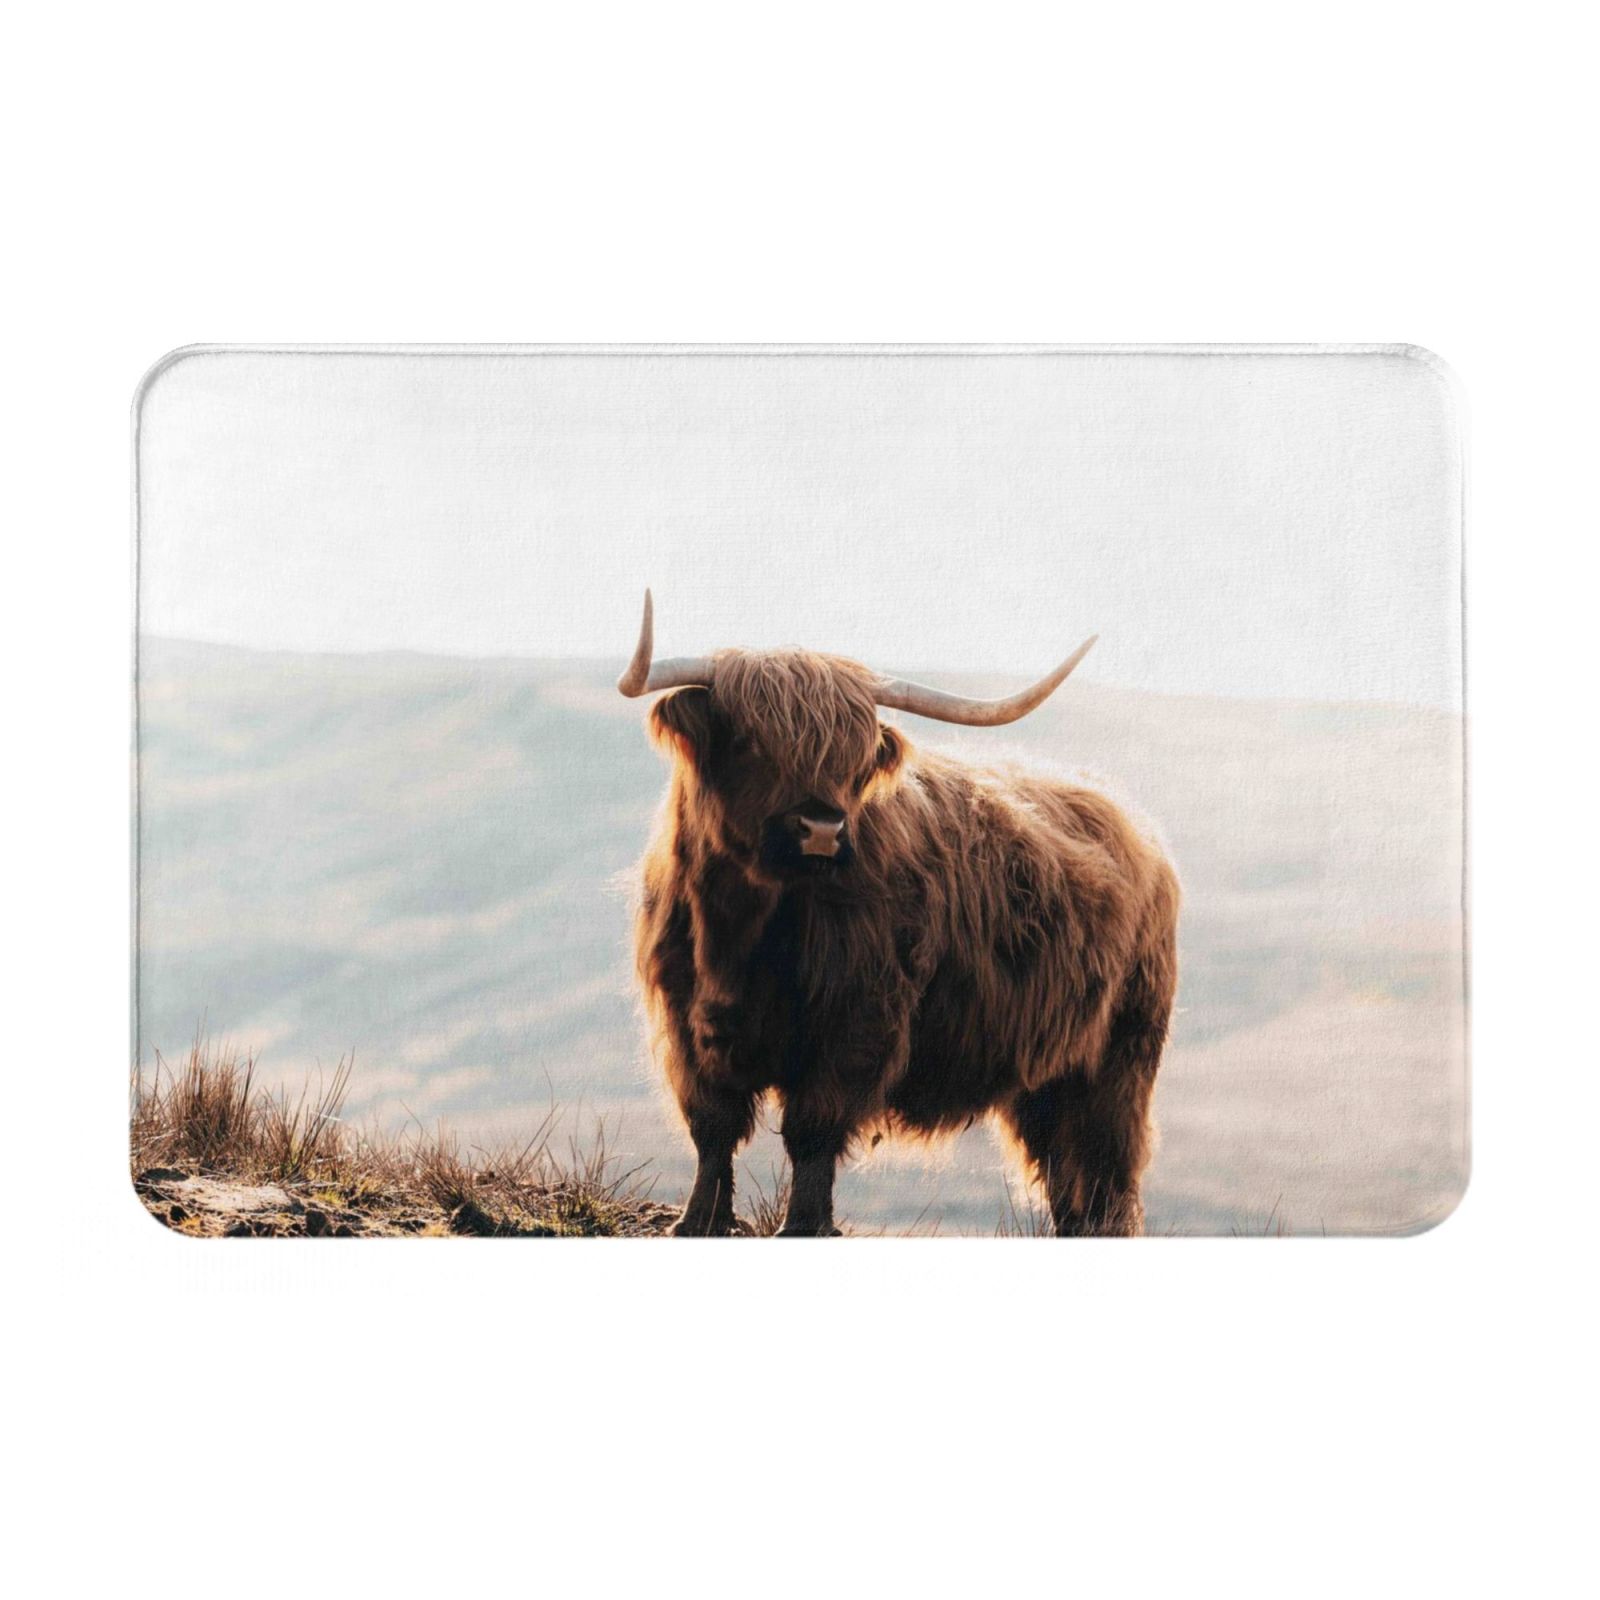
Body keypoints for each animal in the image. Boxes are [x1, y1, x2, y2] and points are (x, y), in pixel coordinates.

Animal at [621, 591, 1179, 1236]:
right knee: (1065, 1175)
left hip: (1118, 1061)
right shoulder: (687, 1021)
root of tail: (1136, 823)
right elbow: (712, 1127)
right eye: (751, 742)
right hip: (1046, 1076)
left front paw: (805, 1224)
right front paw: (696, 1221)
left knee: (1105, 1170)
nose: (822, 828)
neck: (741, 929)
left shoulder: (859, 1020)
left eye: (855, 757)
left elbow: (812, 1130)